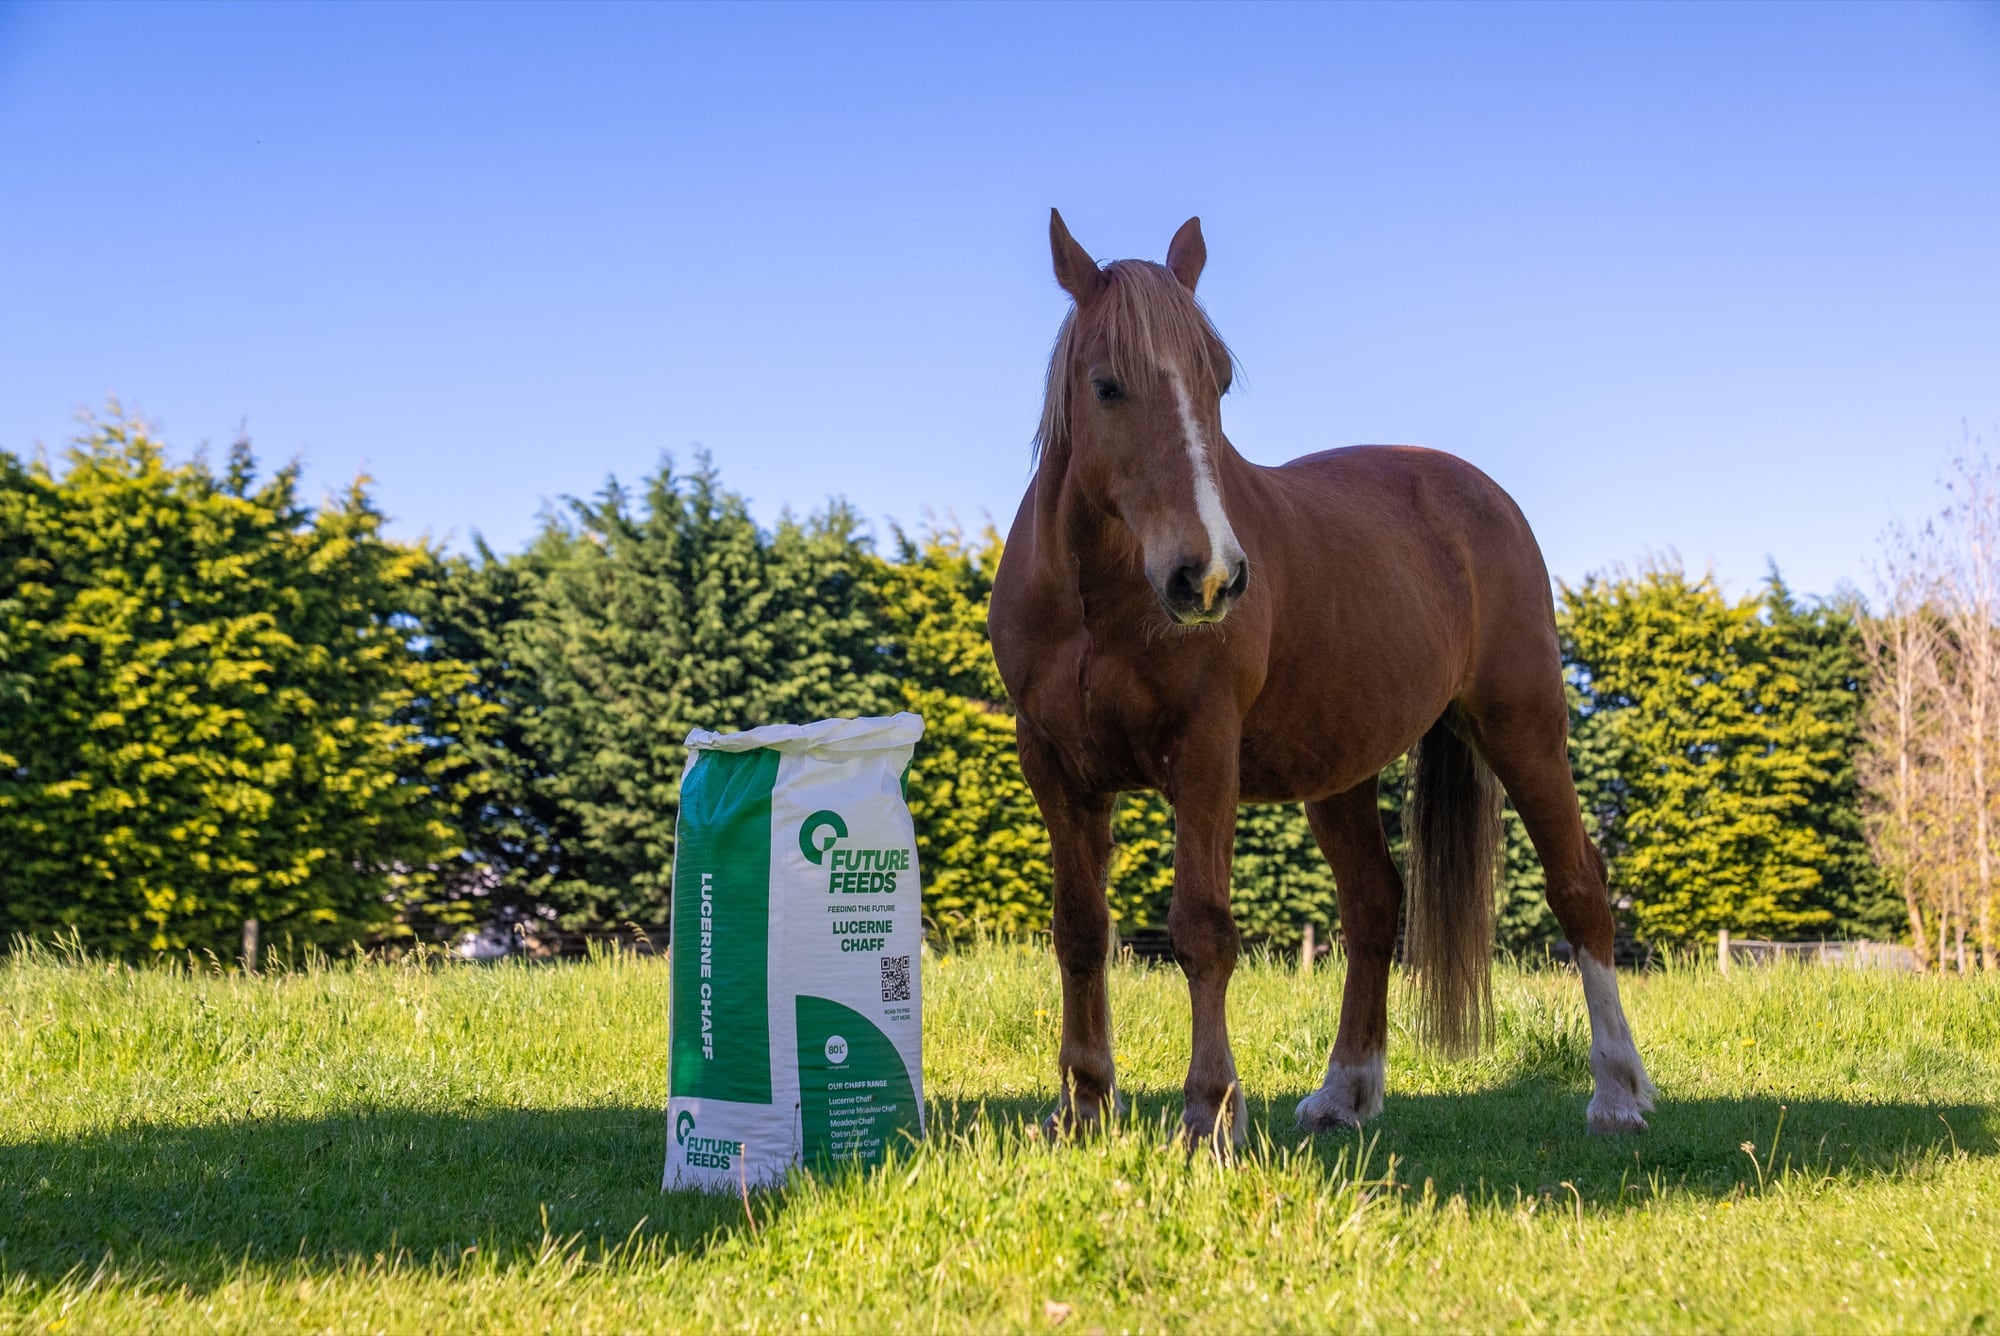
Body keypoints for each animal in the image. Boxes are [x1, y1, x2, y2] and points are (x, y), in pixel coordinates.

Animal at [987, 210, 1656, 1146]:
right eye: (1106, 385)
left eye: (1219, 381)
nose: (1210, 577)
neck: (1093, 602)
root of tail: (1479, 494)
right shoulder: (1055, 769)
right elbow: (1081, 932)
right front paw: (1083, 1106)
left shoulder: (1204, 755)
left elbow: (1202, 930)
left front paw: (1210, 1116)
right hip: (1339, 772)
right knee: (1375, 906)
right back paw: (1346, 1091)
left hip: (1522, 728)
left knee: (1580, 889)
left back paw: (1619, 1092)